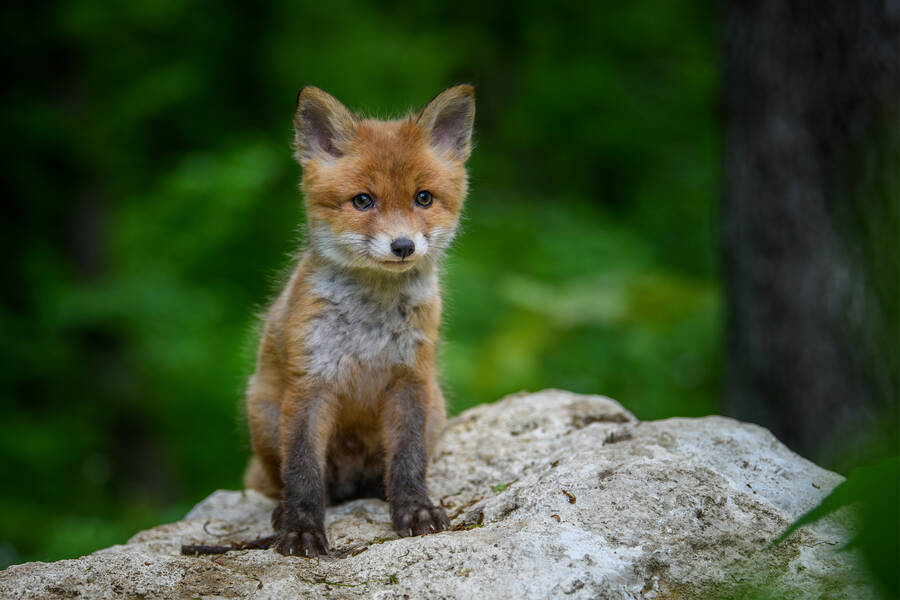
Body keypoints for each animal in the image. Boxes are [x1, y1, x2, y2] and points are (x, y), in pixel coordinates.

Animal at [242, 84, 475, 557]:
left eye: (423, 197)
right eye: (363, 201)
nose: (403, 246)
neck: (371, 326)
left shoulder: (409, 378)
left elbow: (407, 462)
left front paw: (415, 510)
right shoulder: (310, 382)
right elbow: (302, 472)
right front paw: (301, 529)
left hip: (435, 407)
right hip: (262, 409)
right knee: (289, 483)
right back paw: (282, 511)